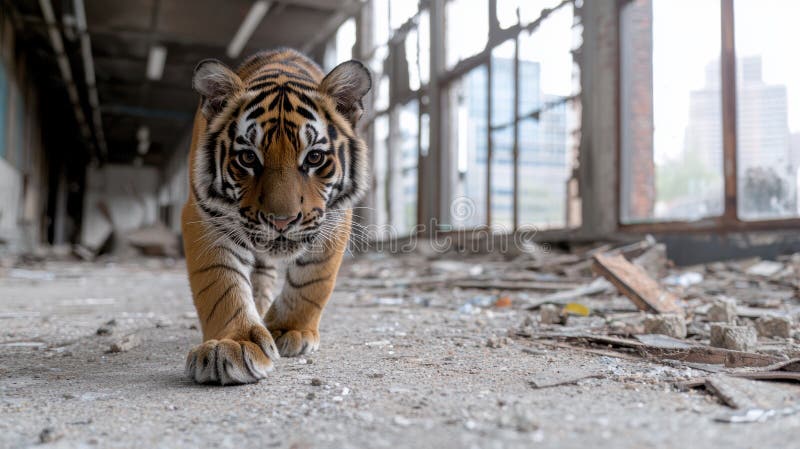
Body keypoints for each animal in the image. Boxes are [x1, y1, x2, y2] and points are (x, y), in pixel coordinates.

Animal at [181, 48, 371, 385]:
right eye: (247, 158)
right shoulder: (203, 218)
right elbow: (221, 284)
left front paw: (290, 329)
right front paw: (232, 344)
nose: (281, 221)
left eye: (314, 157)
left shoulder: (333, 219)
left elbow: (313, 281)